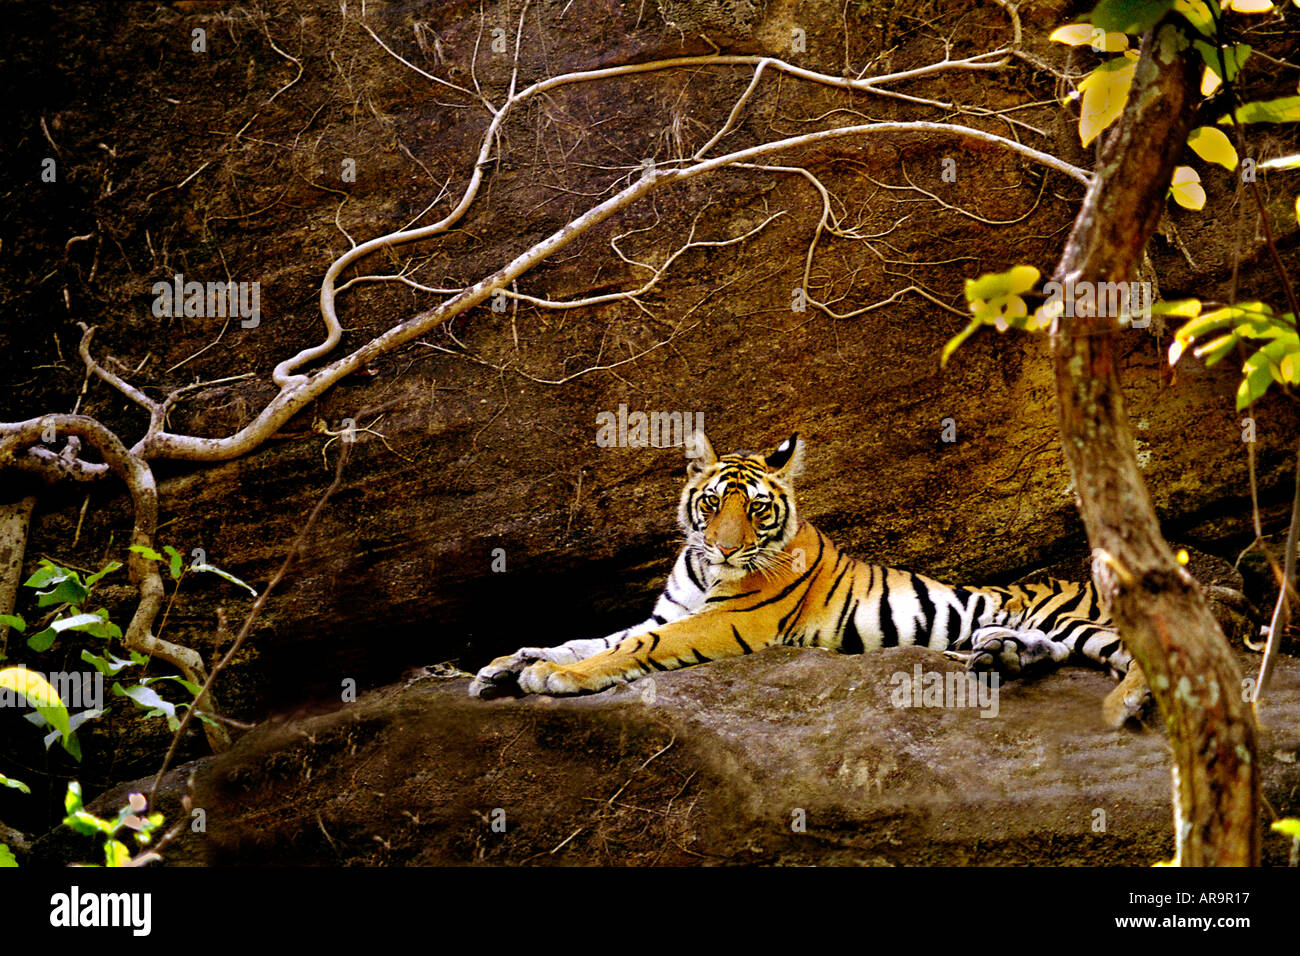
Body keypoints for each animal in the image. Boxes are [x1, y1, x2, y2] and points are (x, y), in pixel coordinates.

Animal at [468, 429, 1150, 725]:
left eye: (756, 509)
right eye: (711, 504)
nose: (724, 548)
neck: (702, 568)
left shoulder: (723, 622)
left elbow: (636, 646)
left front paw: (553, 677)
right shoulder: (673, 610)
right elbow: (590, 638)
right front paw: (509, 663)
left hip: (1077, 615)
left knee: (1143, 658)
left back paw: (1127, 703)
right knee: (1051, 652)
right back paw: (1000, 654)